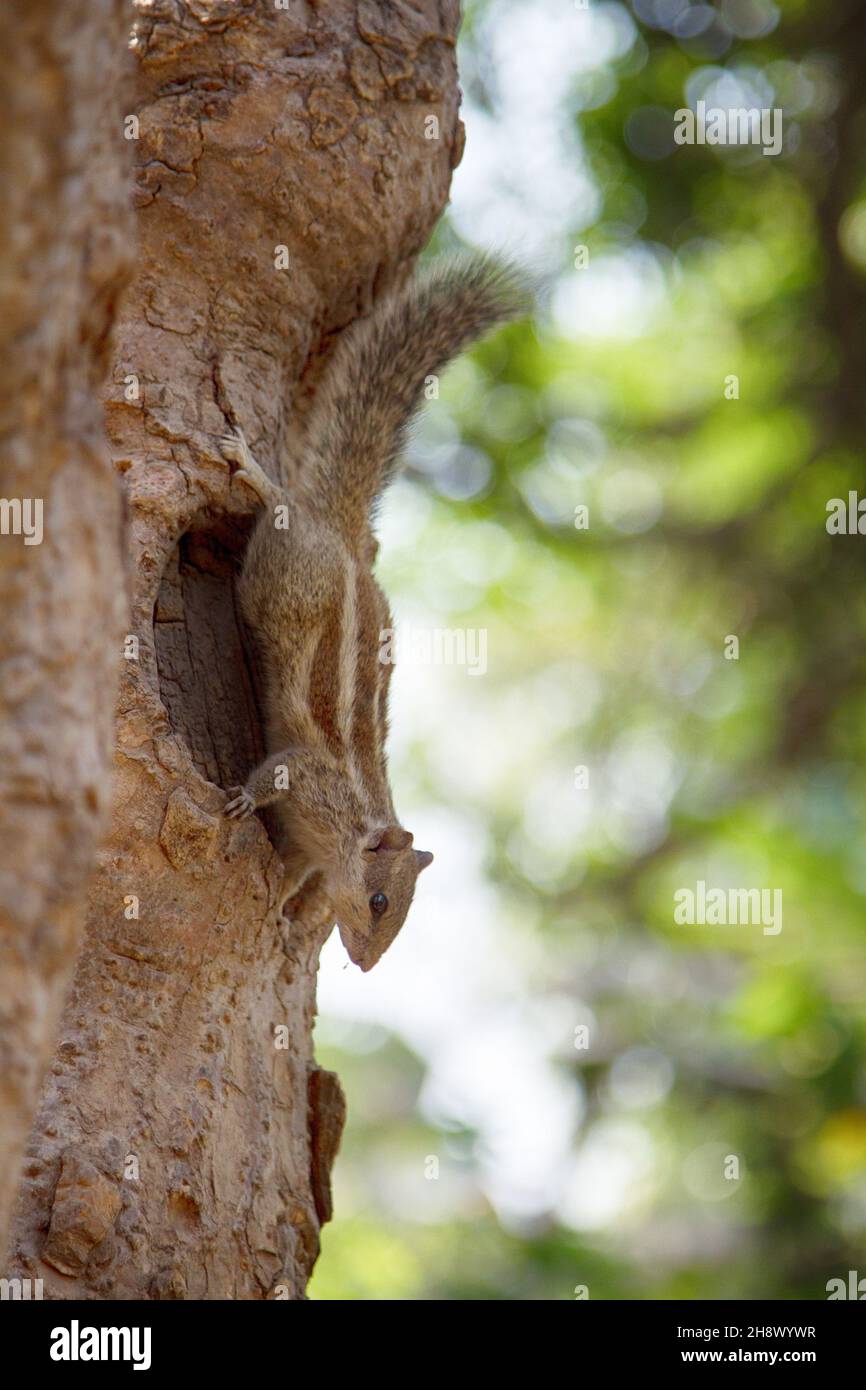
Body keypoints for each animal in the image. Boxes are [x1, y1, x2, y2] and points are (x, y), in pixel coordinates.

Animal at [220, 254, 527, 971]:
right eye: (382, 900)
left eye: (403, 918)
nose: (362, 964)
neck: (346, 833)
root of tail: (347, 536)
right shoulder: (310, 778)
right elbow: (272, 775)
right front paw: (244, 797)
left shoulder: (305, 852)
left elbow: (293, 879)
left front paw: (281, 911)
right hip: (287, 565)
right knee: (284, 504)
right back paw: (255, 470)